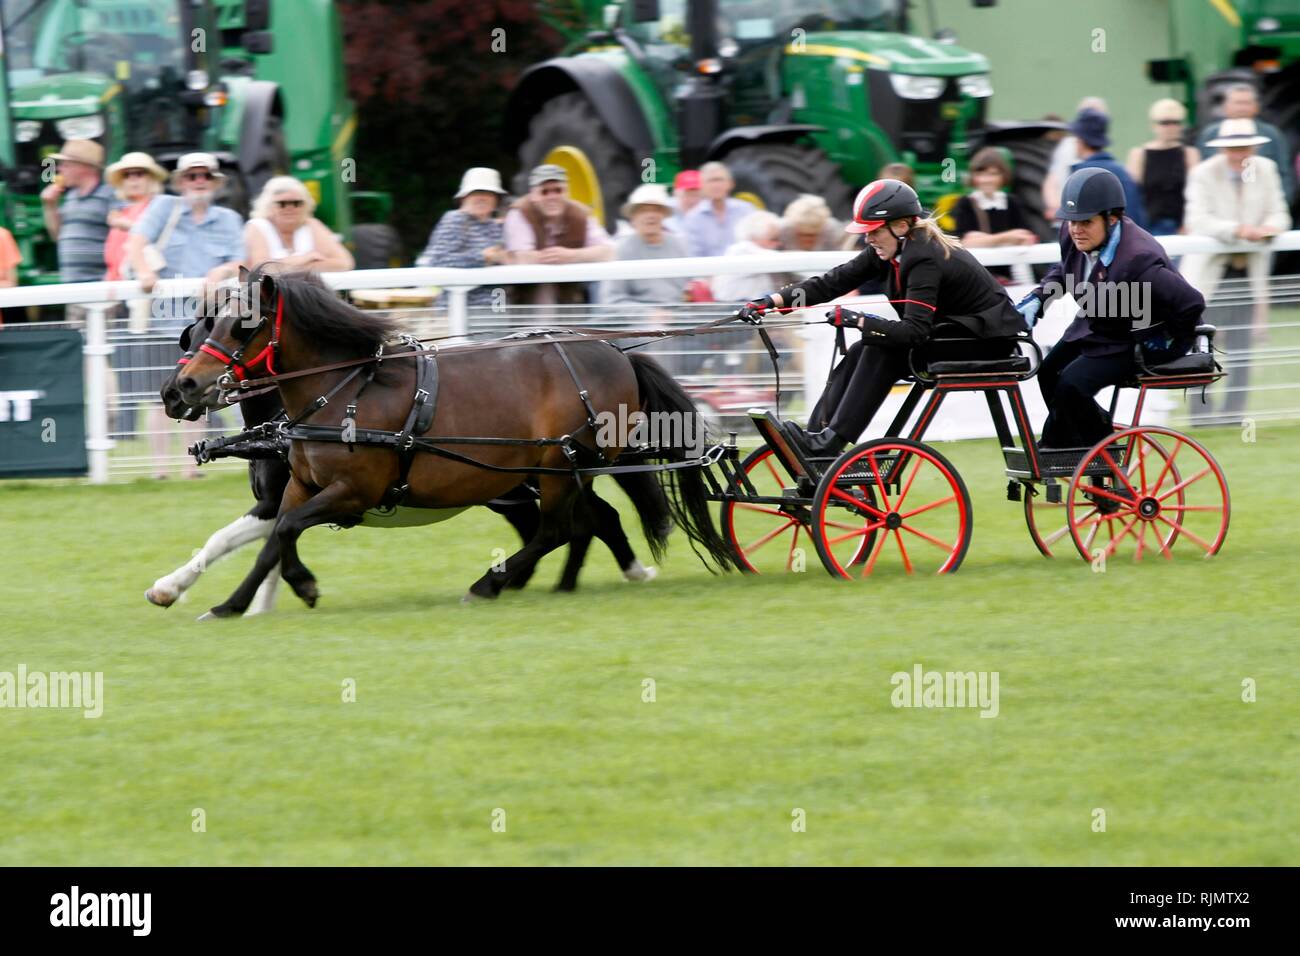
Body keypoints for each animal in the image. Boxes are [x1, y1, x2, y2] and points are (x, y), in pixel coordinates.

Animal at [172, 268, 731, 616]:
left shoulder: (350, 493)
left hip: (559, 464)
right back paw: (559, 582)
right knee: (584, 522)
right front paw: (232, 604)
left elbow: (279, 532)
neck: (343, 391)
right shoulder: (298, 489)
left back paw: (492, 584)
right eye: (202, 329)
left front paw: (291, 587)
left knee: (559, 528)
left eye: (244, 326)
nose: (181, 389)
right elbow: (271, 544)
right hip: (543, 475)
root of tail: (616, 351)